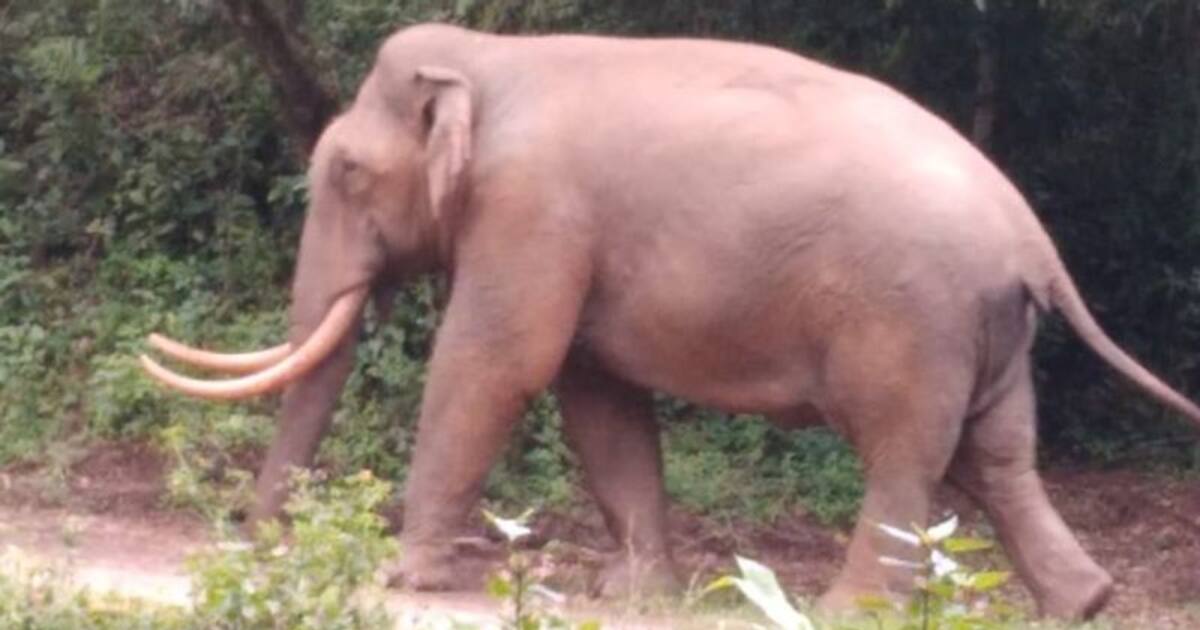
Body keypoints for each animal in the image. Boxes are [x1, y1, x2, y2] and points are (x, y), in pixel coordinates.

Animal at [140, 23, 1200, 620]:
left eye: (350, 173)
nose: (249, 537)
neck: (489, 53)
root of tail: (1032, 238)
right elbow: (596, 398)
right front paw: (632, 594)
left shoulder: (532, 211)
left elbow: (495, 365)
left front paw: (409, 577)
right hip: (987, 331)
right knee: (999, 456)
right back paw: (1085, 602)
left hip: (909, 321)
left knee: (905, 451)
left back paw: (848, 608)